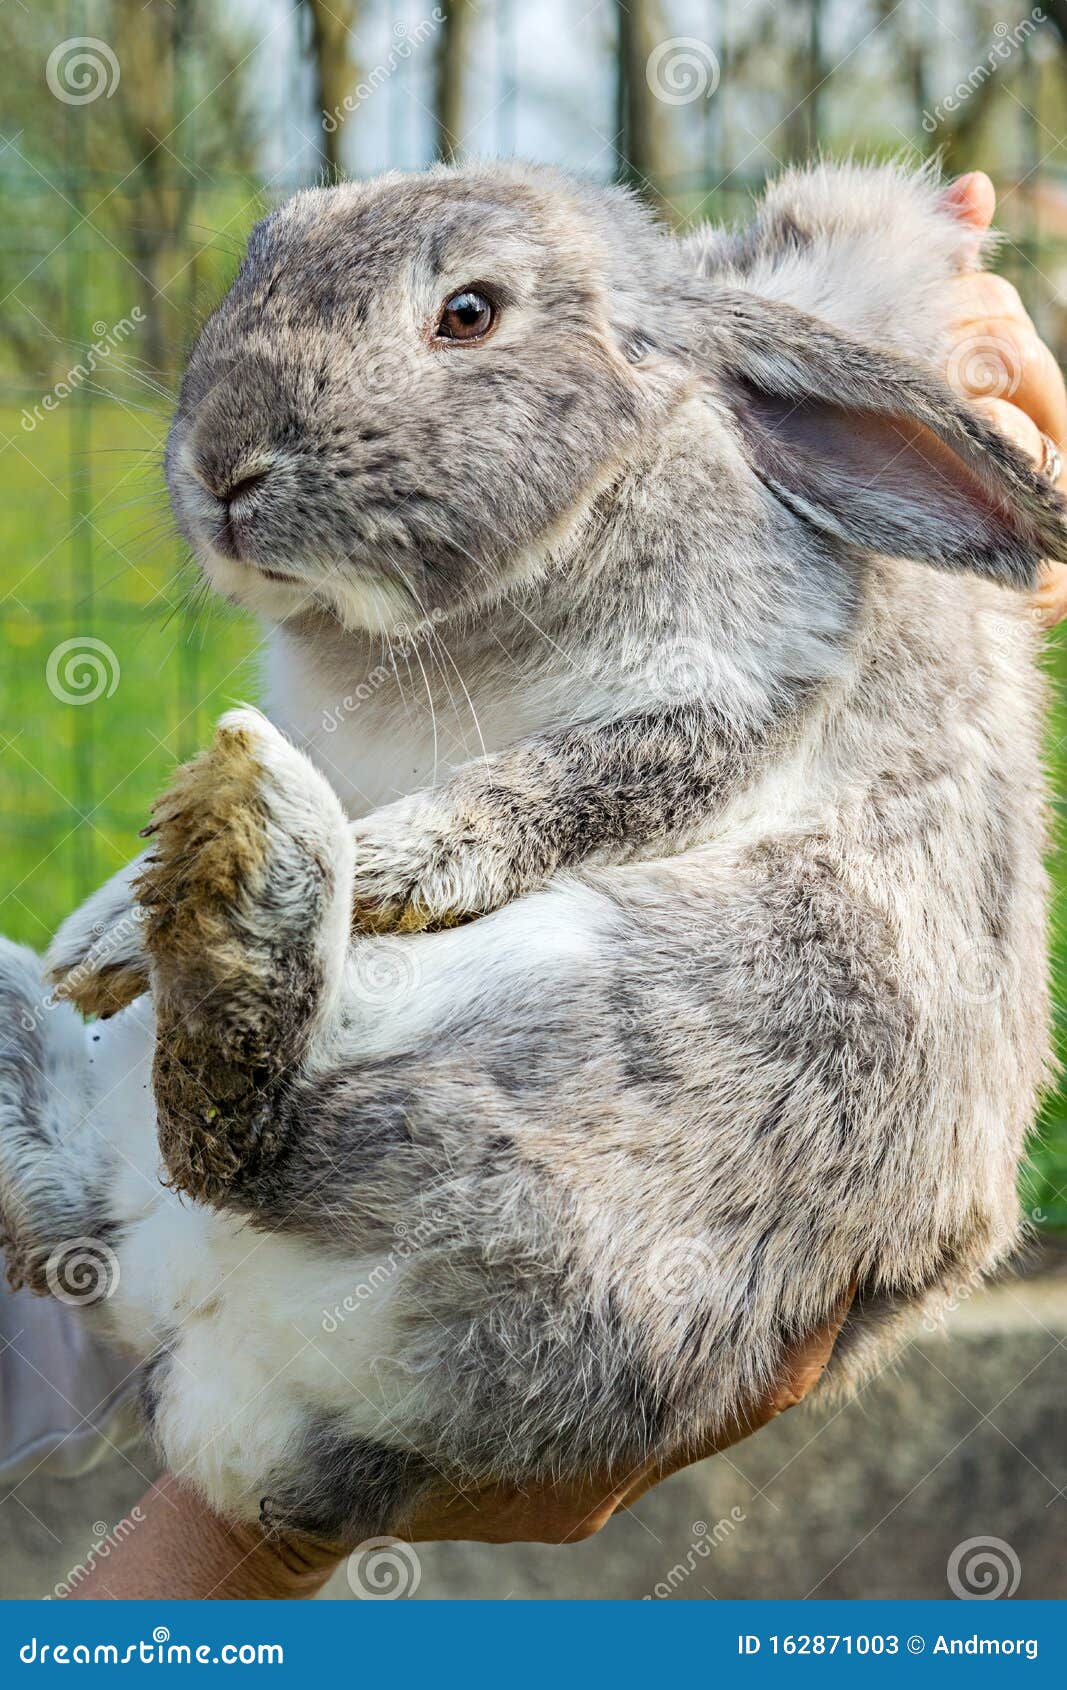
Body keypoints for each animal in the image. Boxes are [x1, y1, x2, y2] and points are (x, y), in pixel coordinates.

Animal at [3, 158, 1066, 1549]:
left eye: (469, 312)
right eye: (259, 259)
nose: (224, 467)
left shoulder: (719, 695)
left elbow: (541, 791)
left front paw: (383, 866)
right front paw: (101, 937)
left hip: (648, 1033)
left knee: (258, 1135)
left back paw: (260, 857)